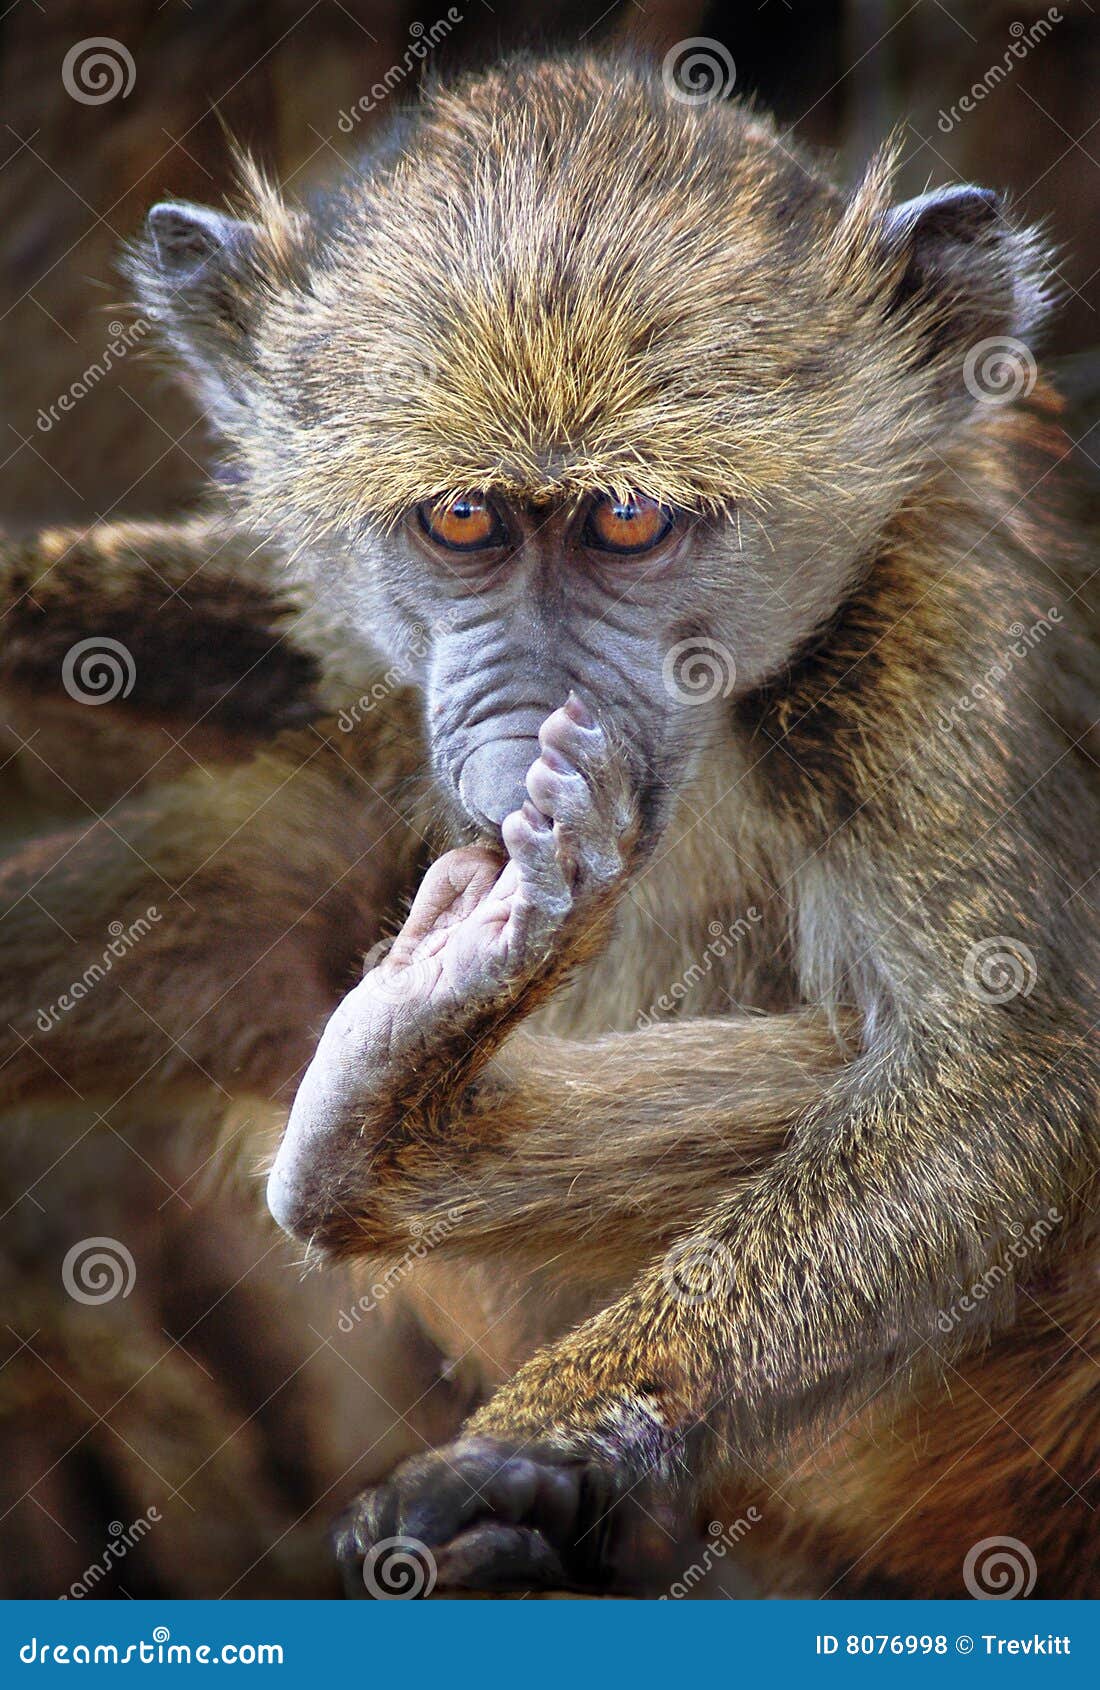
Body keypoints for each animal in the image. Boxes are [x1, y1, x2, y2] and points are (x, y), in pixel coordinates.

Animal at [2, 50, 1096, 1598]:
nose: (530, 739)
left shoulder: (933, 613)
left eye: (629, 521)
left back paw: (384, 1127)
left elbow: (1010, 1069)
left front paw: (552, 1445)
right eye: (462, 520)